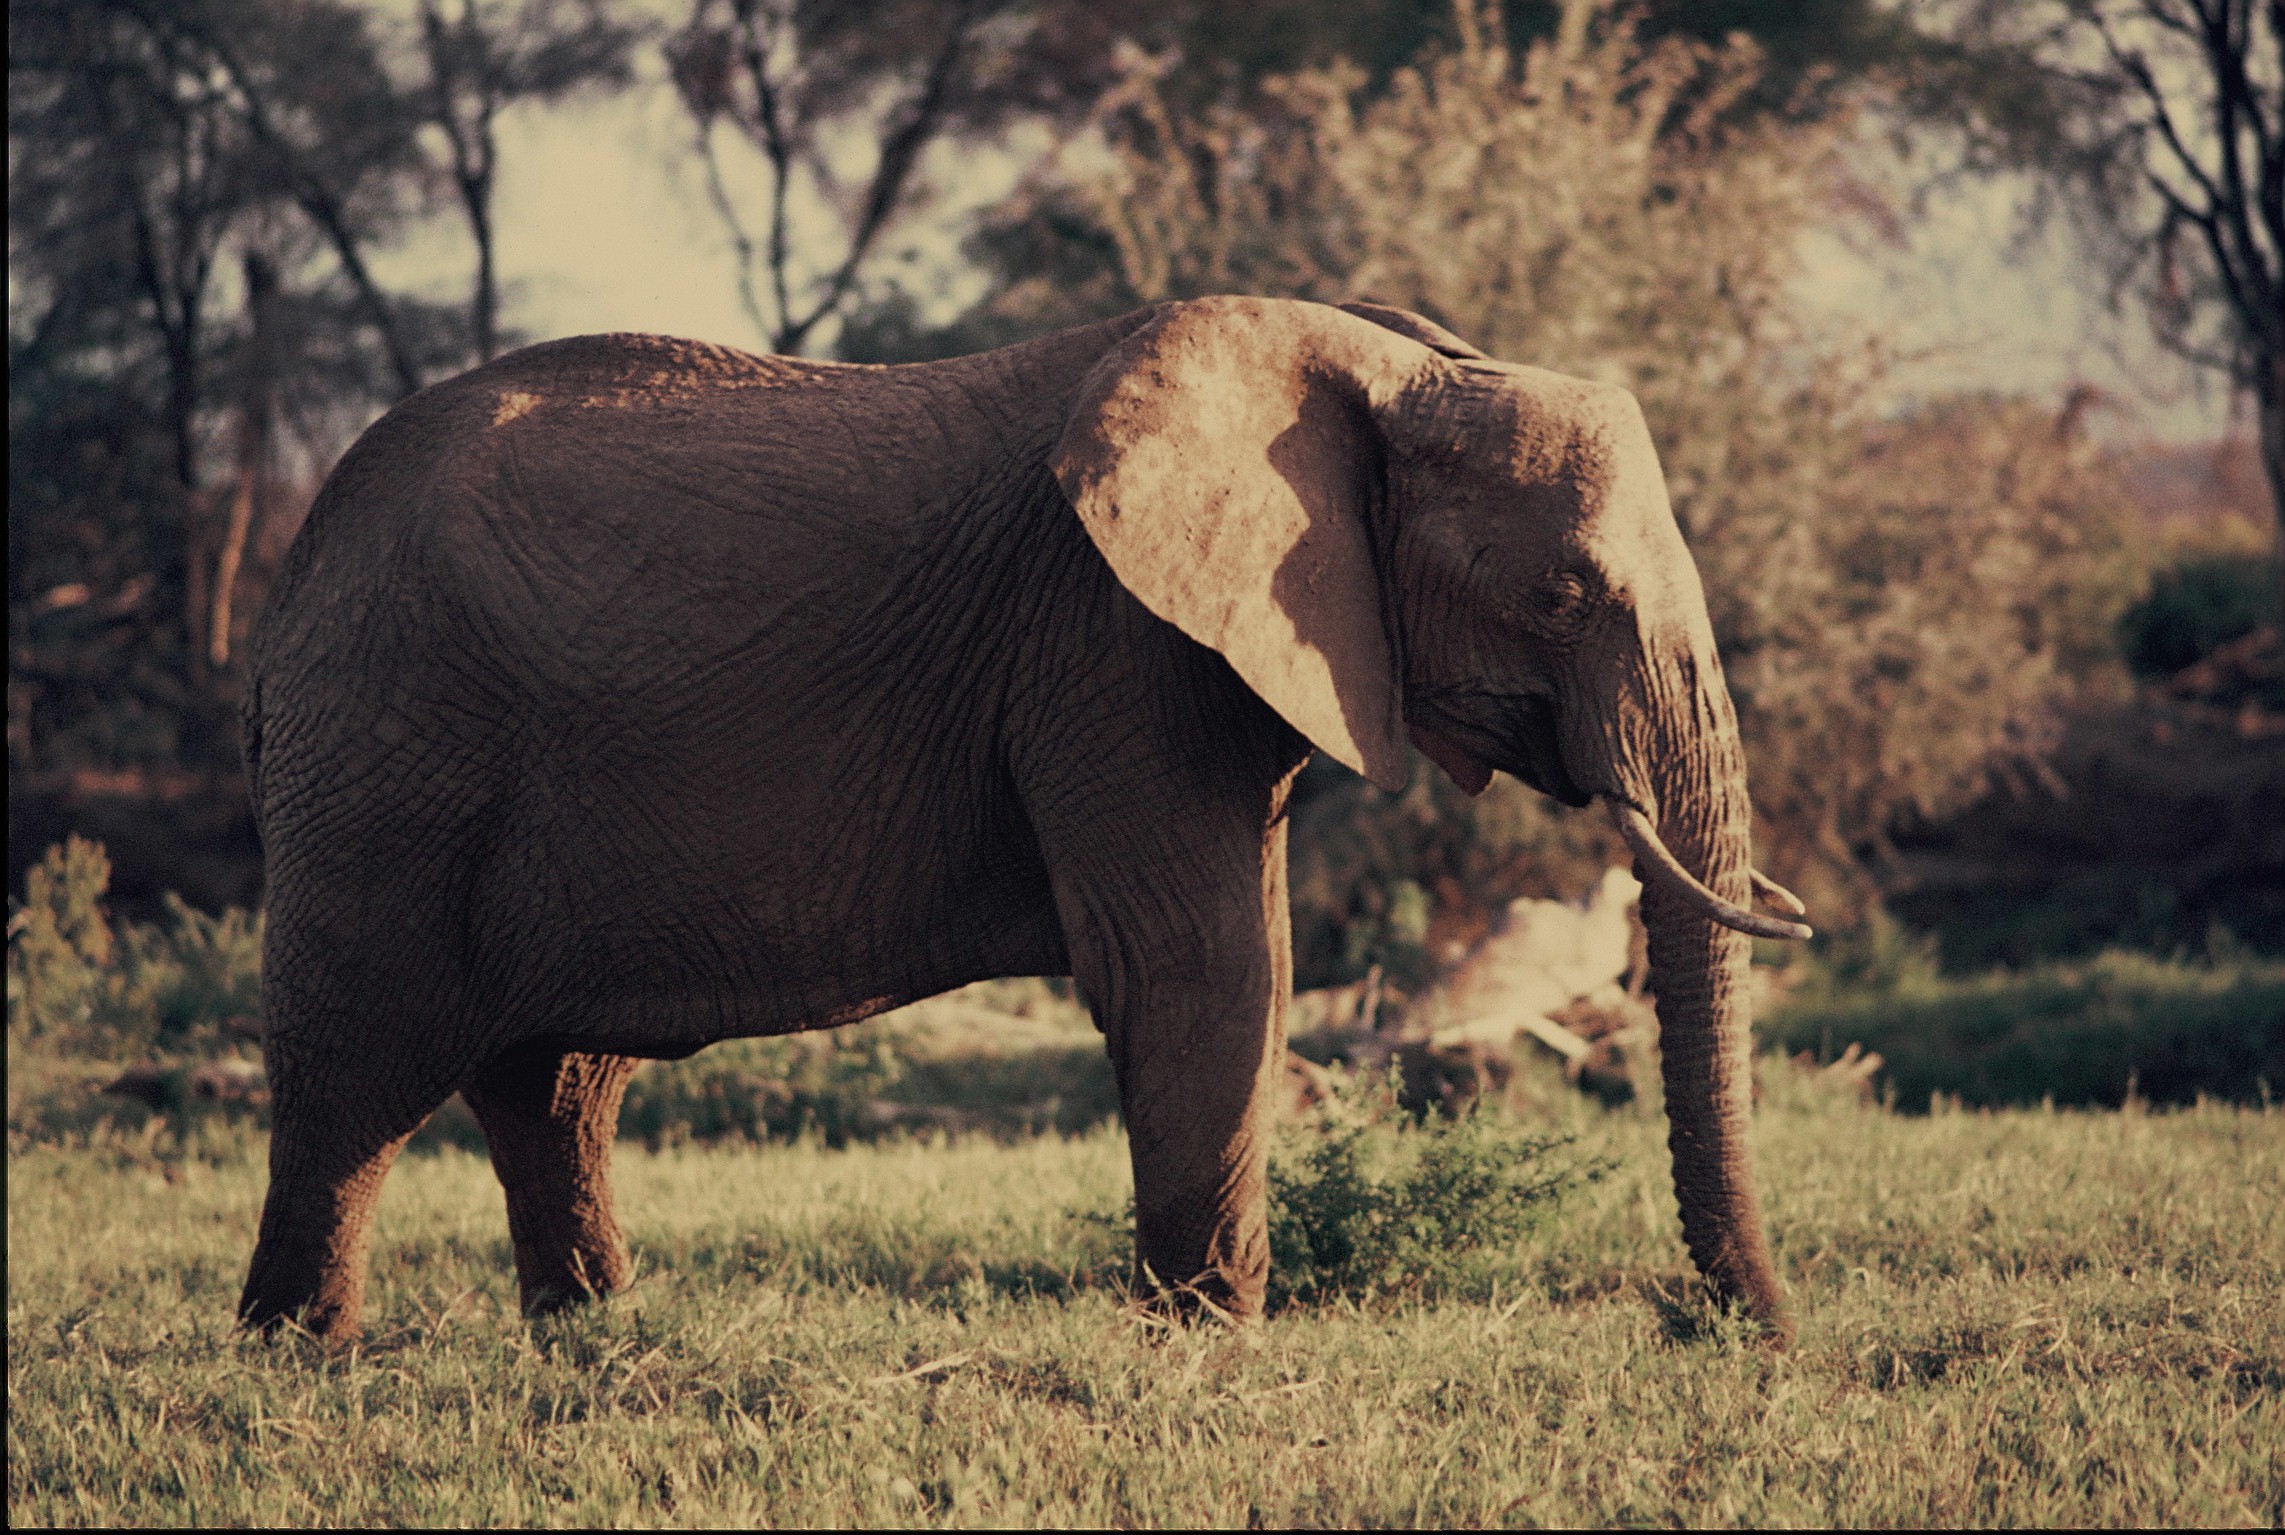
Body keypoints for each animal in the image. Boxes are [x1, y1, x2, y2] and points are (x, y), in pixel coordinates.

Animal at [235, 294, 1812, 1345]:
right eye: (1559, 594)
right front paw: (1212, 1338)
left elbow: (1227, 959)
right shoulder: (1108, 639)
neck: (1389, 364)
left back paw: (592, 1334)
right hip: (385, 753)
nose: (1750, 1330)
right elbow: (1203, 965)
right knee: (355, 1068)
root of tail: (298, 548)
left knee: (553, 1080)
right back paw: (301, 1353)